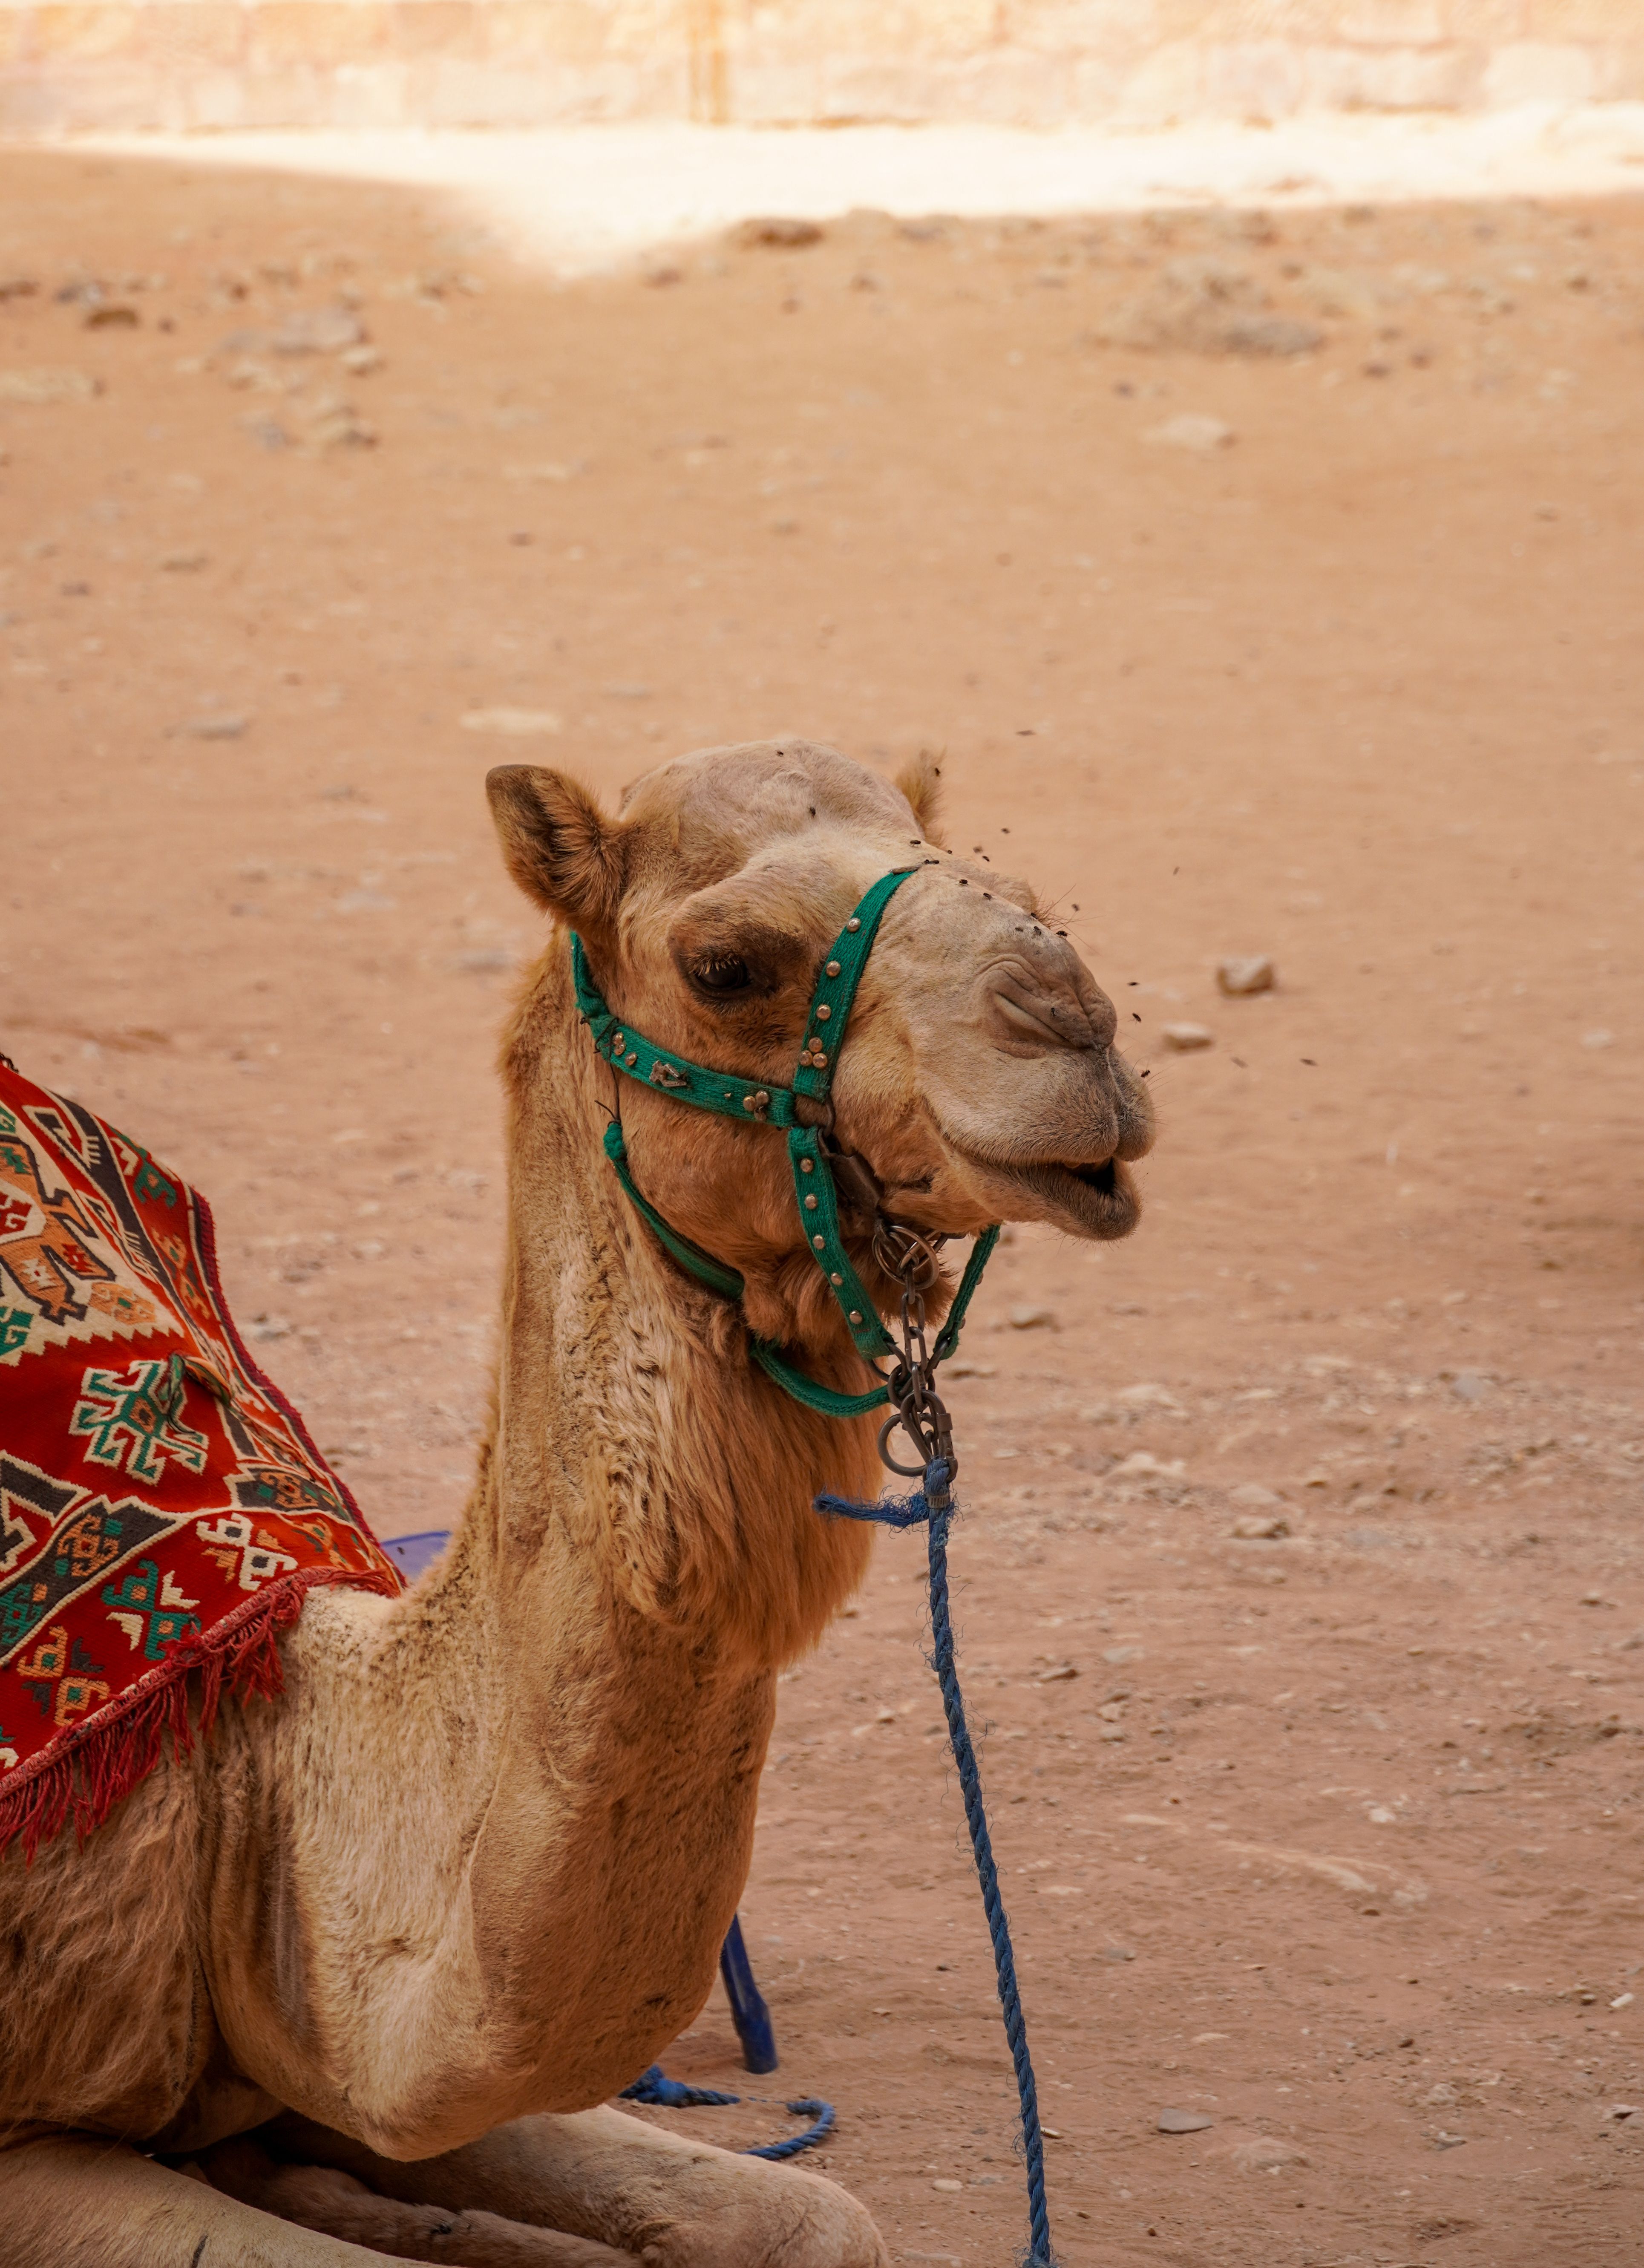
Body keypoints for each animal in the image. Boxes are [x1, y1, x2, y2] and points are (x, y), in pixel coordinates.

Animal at [0, 738, 1153, 2268]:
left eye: (1005, 881)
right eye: (725, 964)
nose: (1074, 1030)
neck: (254, 1784)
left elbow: (815, 2215)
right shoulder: (25, 2132)